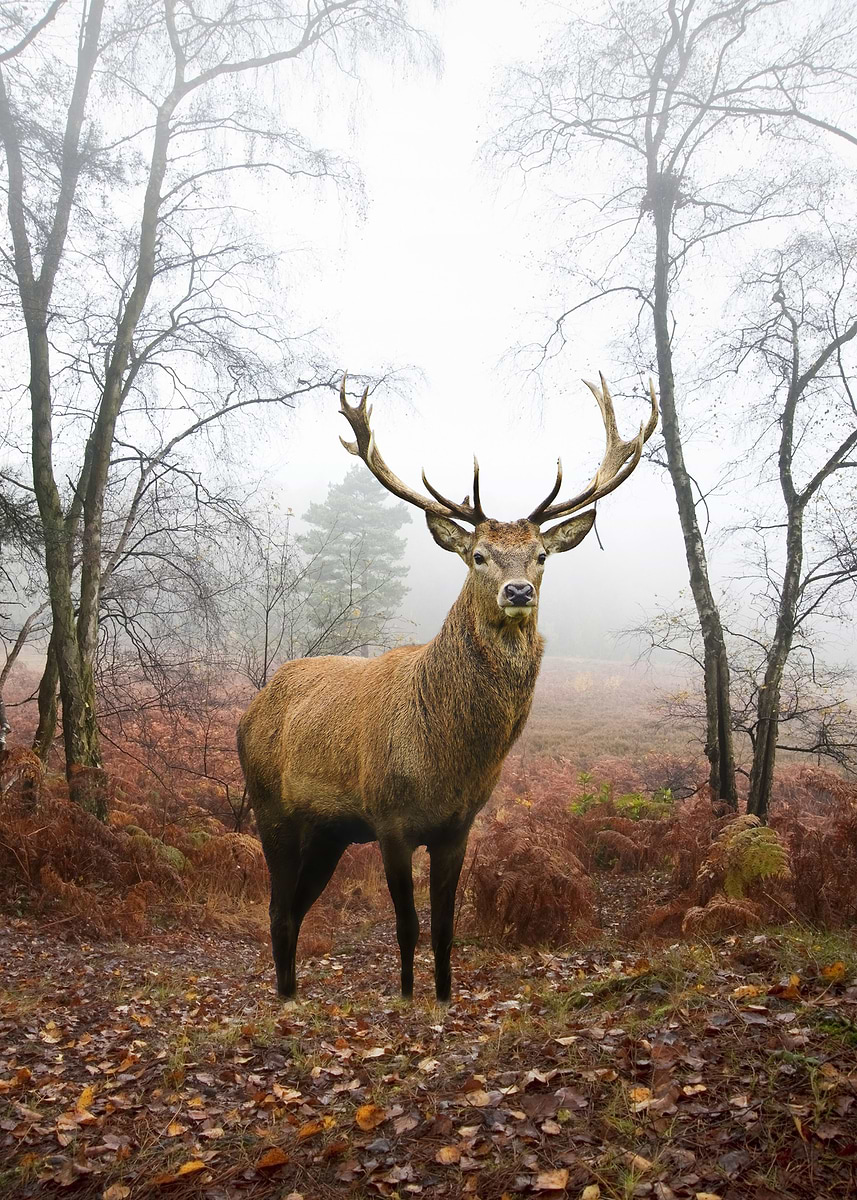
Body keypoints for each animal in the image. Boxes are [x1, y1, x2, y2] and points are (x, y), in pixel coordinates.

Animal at [237, 374, 657, 1002]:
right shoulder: (389, 820)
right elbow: (407, 926)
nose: (517, 591)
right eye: (478, 555)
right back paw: (286, 1001)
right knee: (278, 909)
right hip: (272, 810)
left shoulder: (457, 827)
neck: (445, 756)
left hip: (329, 833)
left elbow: (444, 928)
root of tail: (249, 710)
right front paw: (408, 998)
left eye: (541, 556)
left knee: (295, 907)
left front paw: (442, 998)